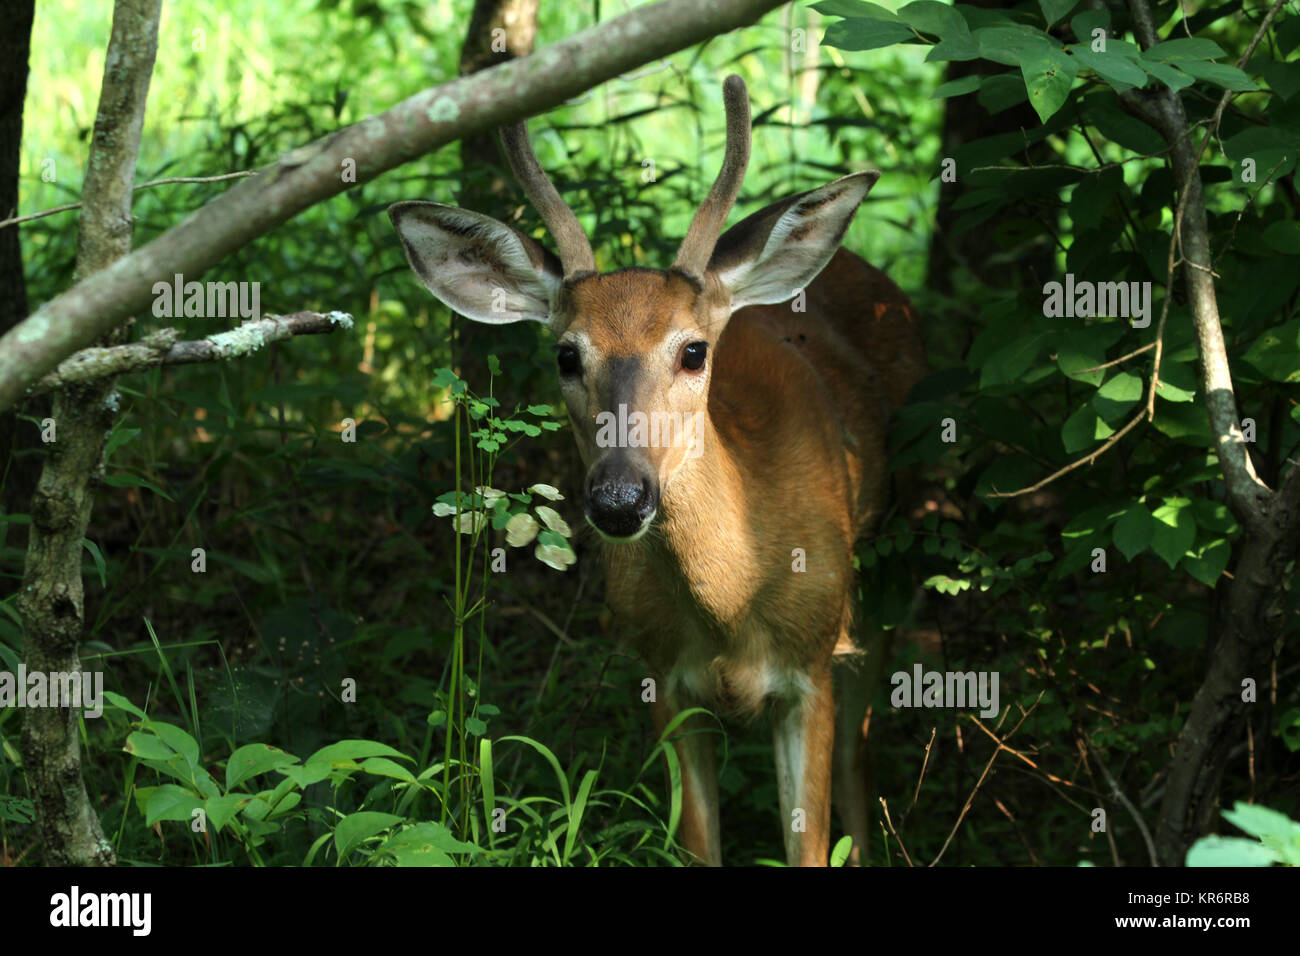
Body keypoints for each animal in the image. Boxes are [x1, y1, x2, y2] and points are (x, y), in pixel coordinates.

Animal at [388, 75, 926, 866]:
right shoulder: (662, 675)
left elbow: (810, 838)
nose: (619, 497)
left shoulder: (812, 662)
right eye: (566, 354)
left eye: (694, 350)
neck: (734, 603)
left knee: (861, 757)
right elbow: (698, 845)